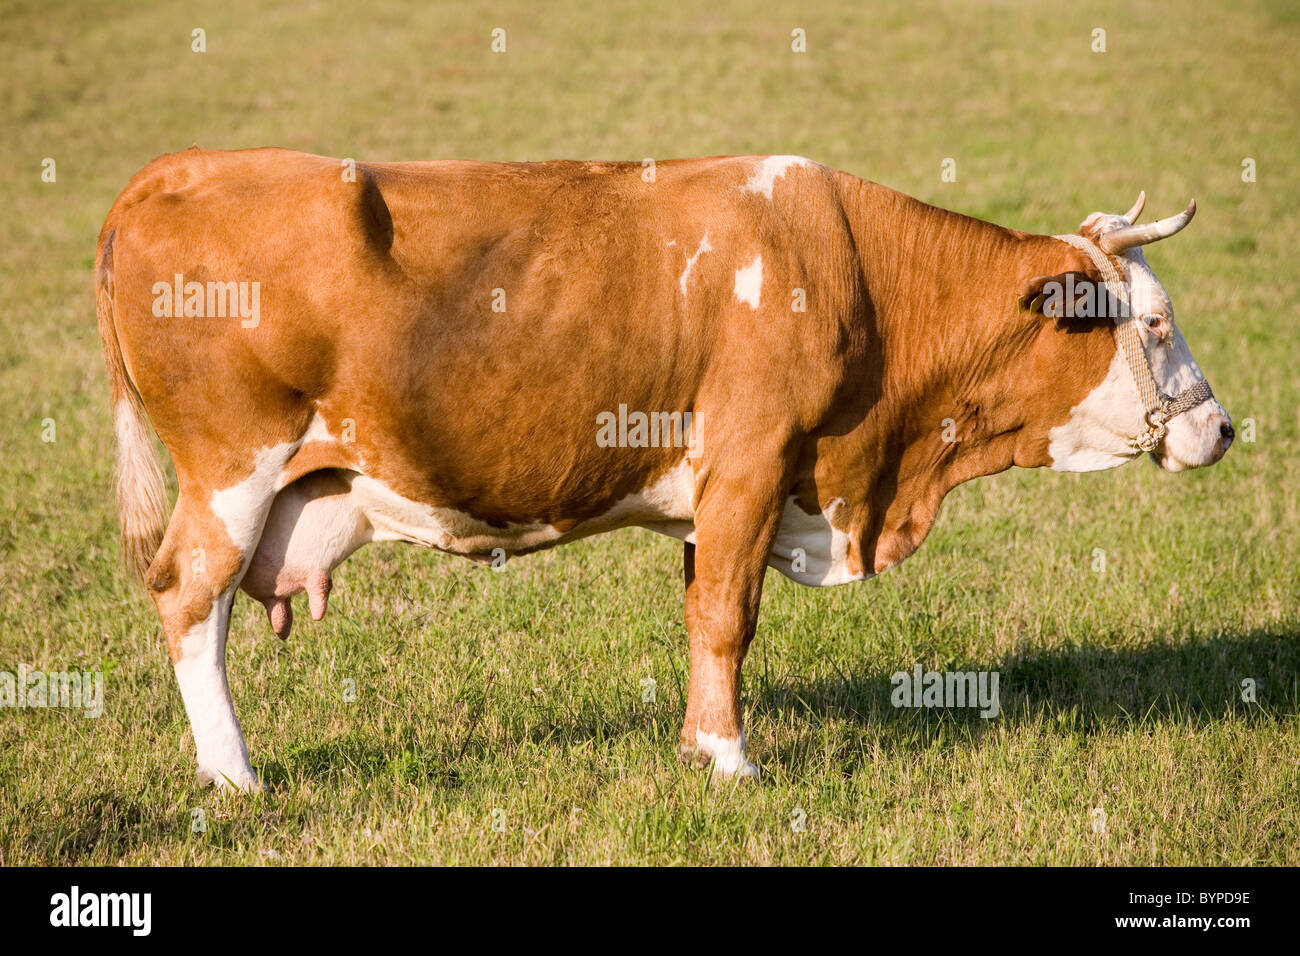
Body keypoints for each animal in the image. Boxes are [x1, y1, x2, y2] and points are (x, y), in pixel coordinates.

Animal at [95, 148, 1232, 790]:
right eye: (1156, 323)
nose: (1219, 429)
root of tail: (171, 170)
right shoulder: (752, 465)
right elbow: (728, 617)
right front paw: (733, 761)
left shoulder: (722, 495)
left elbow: (702, 615)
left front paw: (697, 745)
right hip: (232, 472)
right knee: (189, 597)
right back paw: (235, 775)